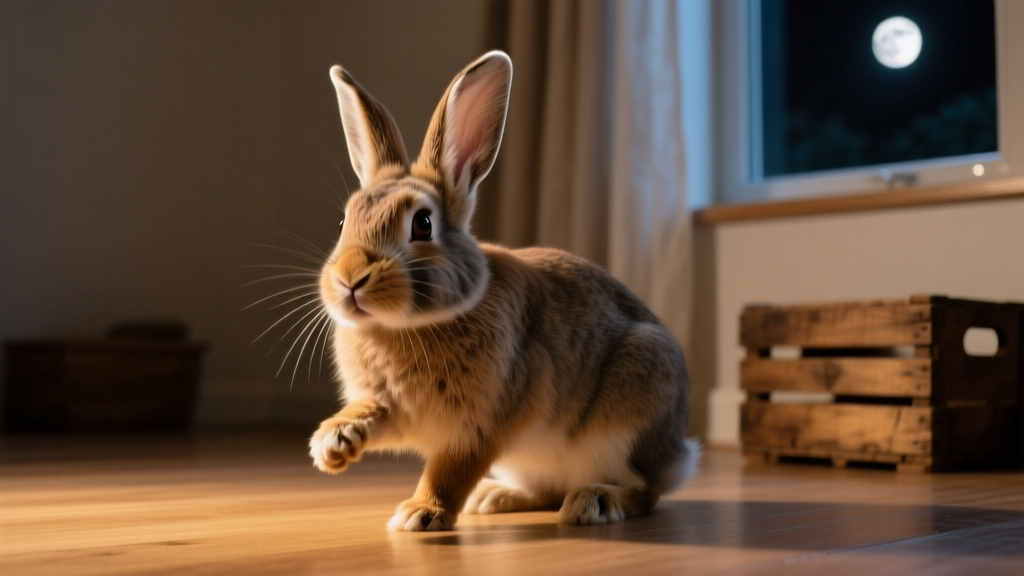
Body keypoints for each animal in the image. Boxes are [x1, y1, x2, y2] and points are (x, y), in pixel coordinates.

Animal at [308, 50, 700, 532]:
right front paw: (333, 443)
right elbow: (374, 416)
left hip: (634, 408)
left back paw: (593, 502)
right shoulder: (392, 408)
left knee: (646, 492)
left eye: (423, 224)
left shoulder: (480, 428)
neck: (404, 327)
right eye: (344, 222)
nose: (350, 279)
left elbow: (450, 472)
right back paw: (494, 498)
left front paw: (421, 514)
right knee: (547, 491)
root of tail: (679, 453)